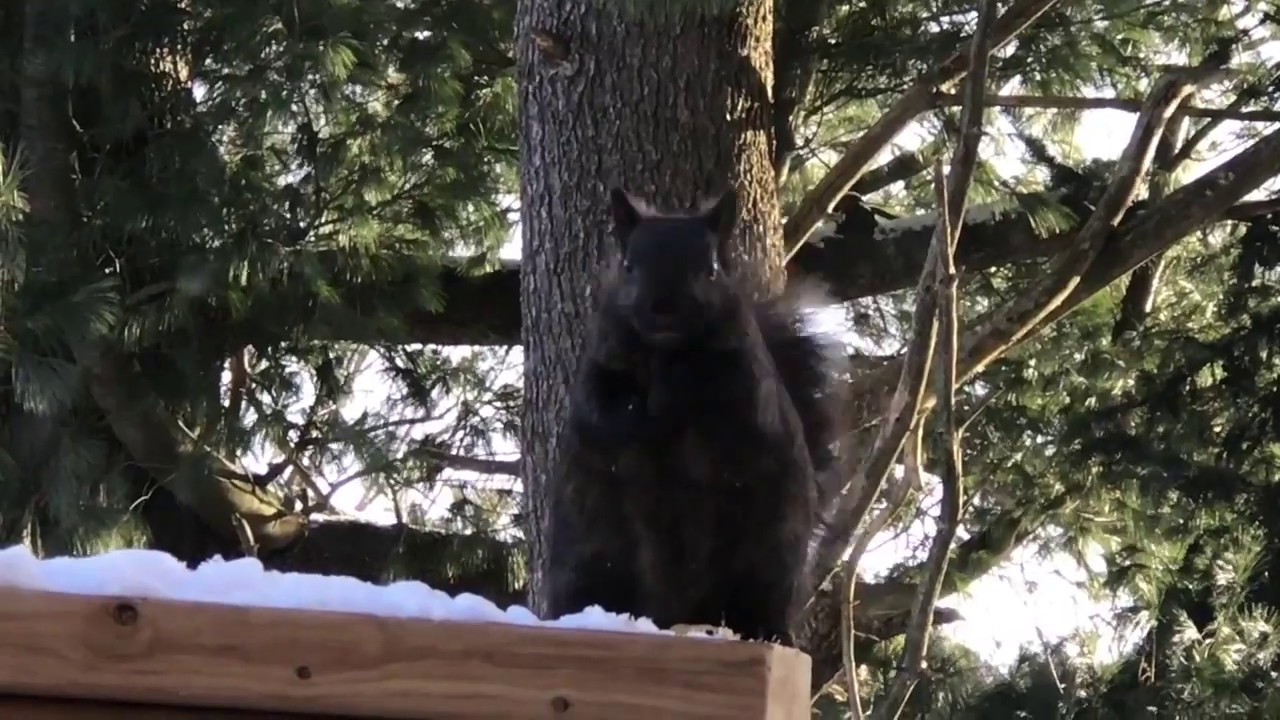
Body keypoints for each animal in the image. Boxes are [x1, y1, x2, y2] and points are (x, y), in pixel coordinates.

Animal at [542, 187, 849, 646]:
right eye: (628, 266)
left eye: (712, 269)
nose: (665, 307)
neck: (667, 353)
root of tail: (678, 612)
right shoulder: (601, 370)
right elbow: (603, 416)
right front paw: (647, 417)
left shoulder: (748, 386)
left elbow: (729, 422)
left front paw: (677, 395)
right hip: (590, 555)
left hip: (769, 558)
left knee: (762, 603)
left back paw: (771, 633)